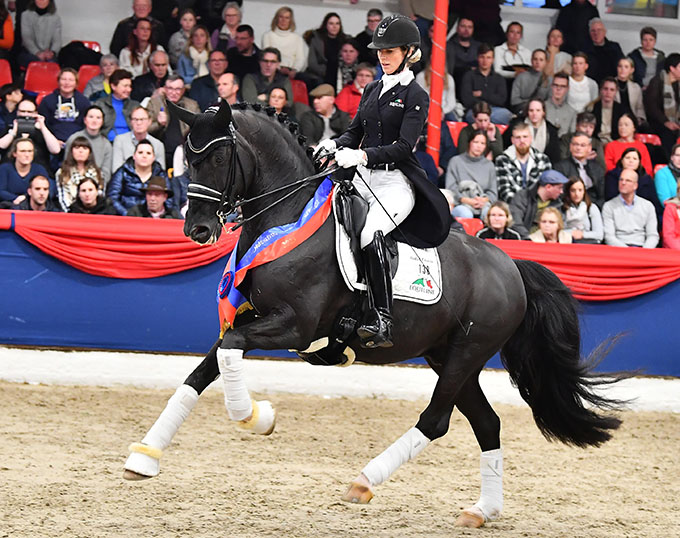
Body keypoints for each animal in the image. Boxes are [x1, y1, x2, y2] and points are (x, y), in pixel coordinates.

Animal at [123, 100, 627, 528]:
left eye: (217, 158)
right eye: (188, 161)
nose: (197, 230)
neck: (287, 217)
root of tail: (511, 265)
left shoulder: (294, 326)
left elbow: (227, 353)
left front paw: (256, 417)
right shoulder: (248, 318)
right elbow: (201, 372)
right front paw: (144, 457)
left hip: (468, 351)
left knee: (435, 421)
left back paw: (364, 482)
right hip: (449, 356)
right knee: (486, 423)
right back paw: (481, 511)